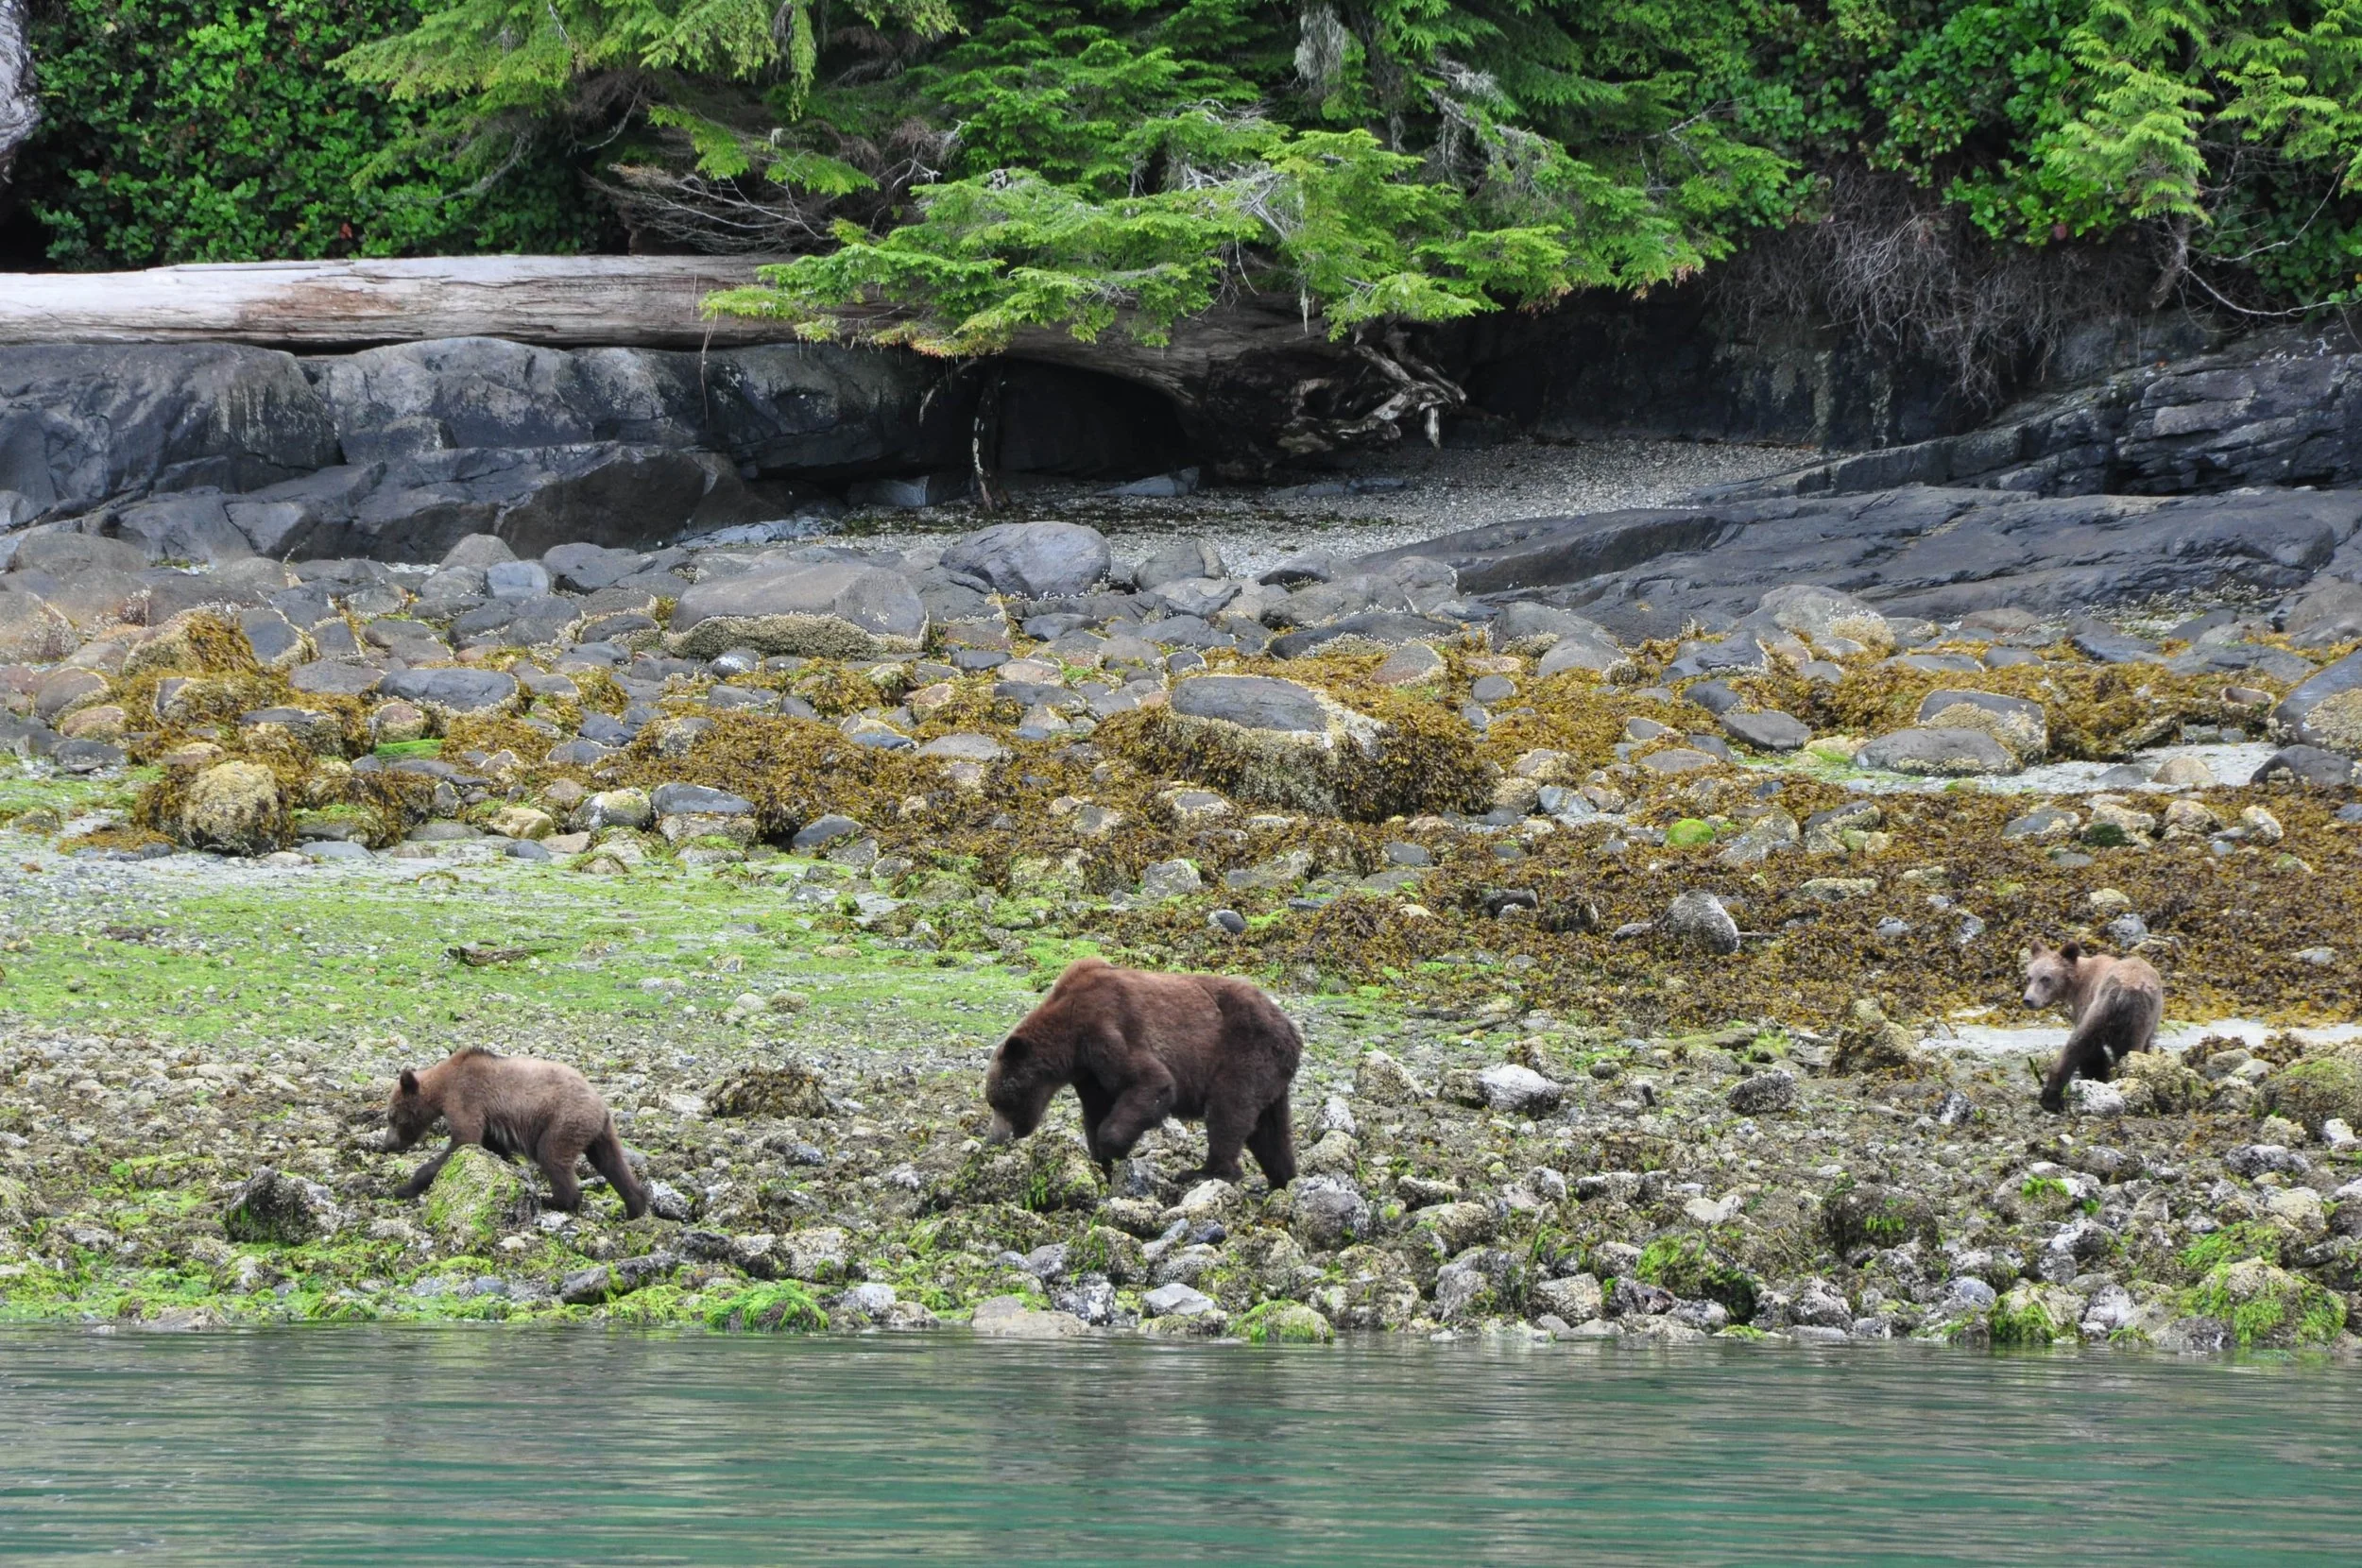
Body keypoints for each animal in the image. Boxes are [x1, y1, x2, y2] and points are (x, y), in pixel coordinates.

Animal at [381, 1047, 649, 1217]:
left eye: (392, 1115)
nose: (387, 1144)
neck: (444, 1085)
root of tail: (601, 1105)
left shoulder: (467, 1096)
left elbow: (464, 1140)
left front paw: (403, 1188)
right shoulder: (490, 1119)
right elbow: (492, 1147)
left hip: (564, 1120)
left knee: (552, 1156)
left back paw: (556, 1200)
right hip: (599, 1132)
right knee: (611, 1162)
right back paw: (635, 1206)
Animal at [984, 956, 1301, 1187]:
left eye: (1001, 1101)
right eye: (992, 1102)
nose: (994, 1138)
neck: (1069, 1038)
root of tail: (1291, 1031)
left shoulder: (1106, 1031)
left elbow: (1152, 1083)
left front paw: (1113, 1149)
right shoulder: (1088, 1073)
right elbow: (1096, 1109)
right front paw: (1100, 1165)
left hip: (1245, 1053)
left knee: (1228, 1110)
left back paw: (1206, 1171)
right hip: (1271, 1072)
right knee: (1269, 1132)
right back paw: (1283, 1178)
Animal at [2022, 939, 2164, 1112]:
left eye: (2045, 978)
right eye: (2029, 977)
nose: (2028, 1000)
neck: (2076, 984)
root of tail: (2127, 991)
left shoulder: (2085, 1003)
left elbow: (2091, 1052)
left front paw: (2096, 1075)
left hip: (2108, 1006)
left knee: (2078, 1043)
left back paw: (2050, 1098)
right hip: (2137, 1017)